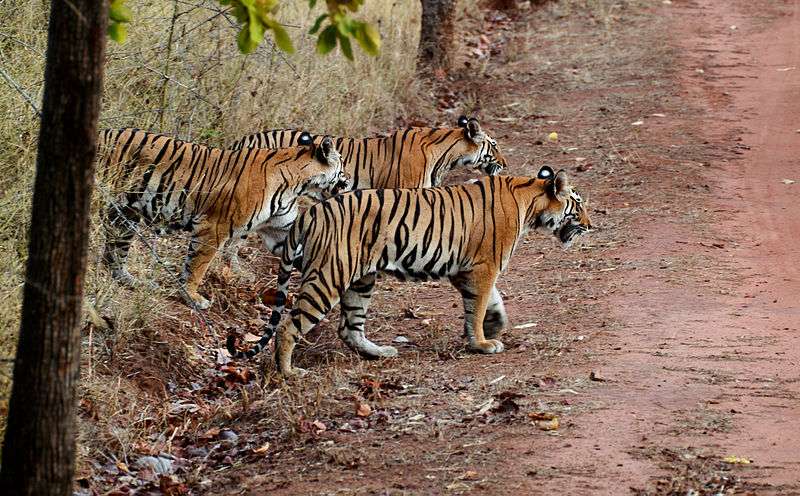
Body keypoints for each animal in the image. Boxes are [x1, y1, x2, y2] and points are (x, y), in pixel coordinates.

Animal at [96, 128, 349, 310]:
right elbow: (197, 266)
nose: (348, 183)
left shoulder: (281, 230)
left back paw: (132, 281)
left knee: (115, 255)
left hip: (126, 217)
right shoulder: (214, 227)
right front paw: (193, 297)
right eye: (343, 165)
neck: (298, 184)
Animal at [226, 166, 592, 375]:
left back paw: (379, 353)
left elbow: (491, 301)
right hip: (329, 277)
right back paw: (289, 372)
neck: (529, 202)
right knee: (289, 326)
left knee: (349, 328)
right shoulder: (484, 267)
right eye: (578, 205)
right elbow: (479, 304)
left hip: (361, 280)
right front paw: (482, 343)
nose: (591, 225)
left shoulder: (466, 270)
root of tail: (311, 213)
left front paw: (493, 326)